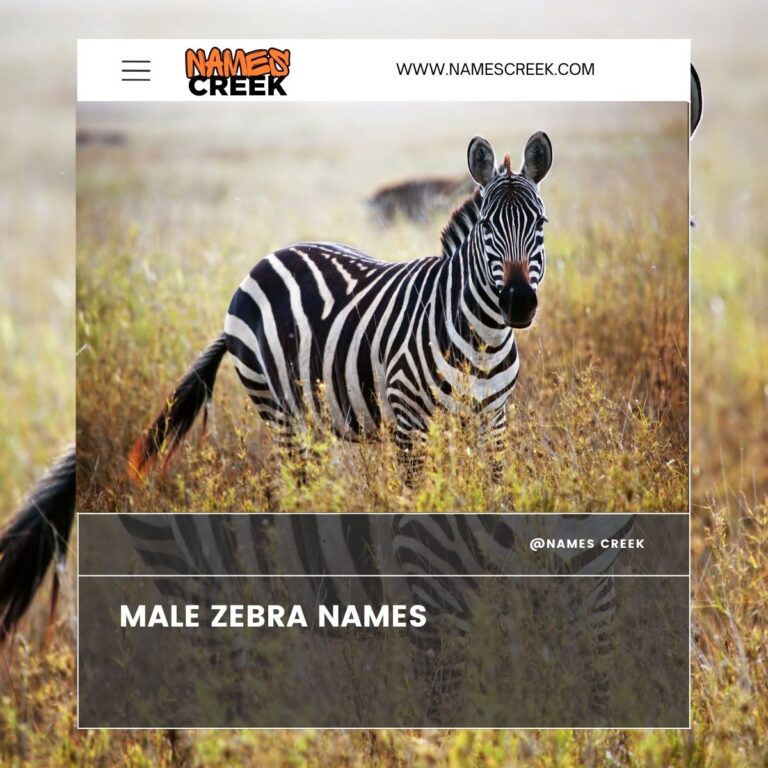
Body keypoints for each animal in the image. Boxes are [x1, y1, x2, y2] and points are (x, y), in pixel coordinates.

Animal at [129, 132, 553, 483]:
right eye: (486, 225)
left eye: (541, 223)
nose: (518, 302)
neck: (483, 337)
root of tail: (266, 260)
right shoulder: (409, 419)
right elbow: (419, 495)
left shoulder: (493, 419)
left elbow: (491, 489)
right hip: (277, 407)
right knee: (298, 484)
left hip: (312, 412)